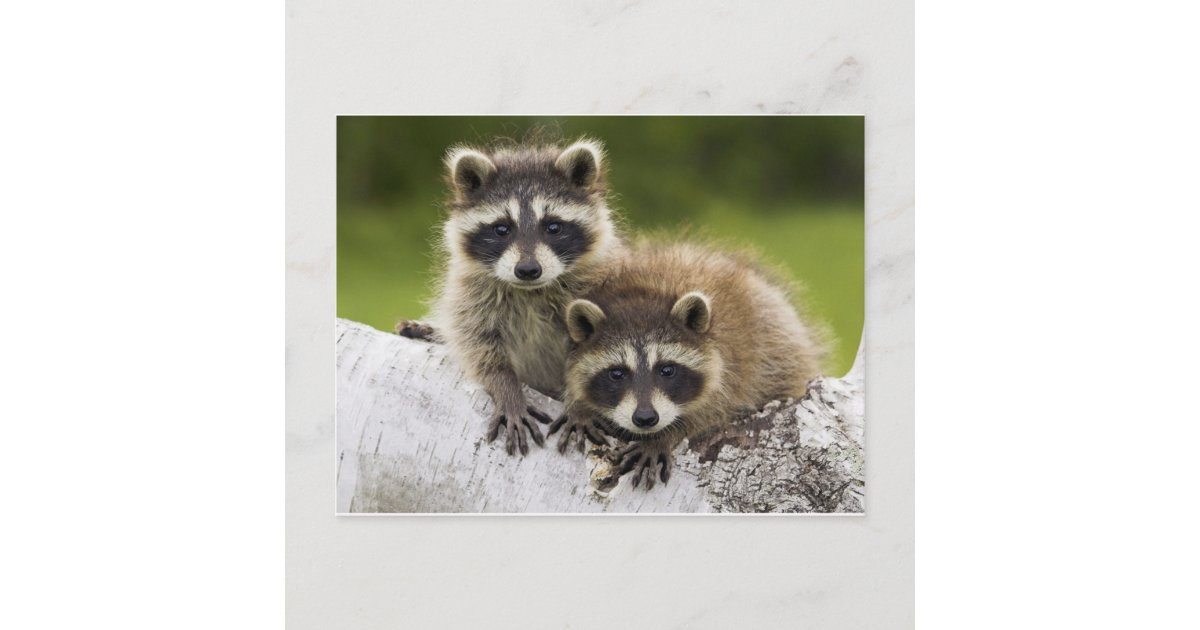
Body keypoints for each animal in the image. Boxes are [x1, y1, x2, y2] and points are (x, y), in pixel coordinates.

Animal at [400, 139, 627, 456]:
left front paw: (580, 405)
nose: (528, 270)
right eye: (502, 229)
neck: (530, 291)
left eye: (553, 227)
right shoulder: (471, 293)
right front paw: (506, 387)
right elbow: (478, 344)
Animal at [556, 241, 828, 488]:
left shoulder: (733, 367)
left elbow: (713, 410)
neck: (644, 293)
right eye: (616, 373)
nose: (645, 418)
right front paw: (579, 407)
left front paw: (664, 436)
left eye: (666, 370)